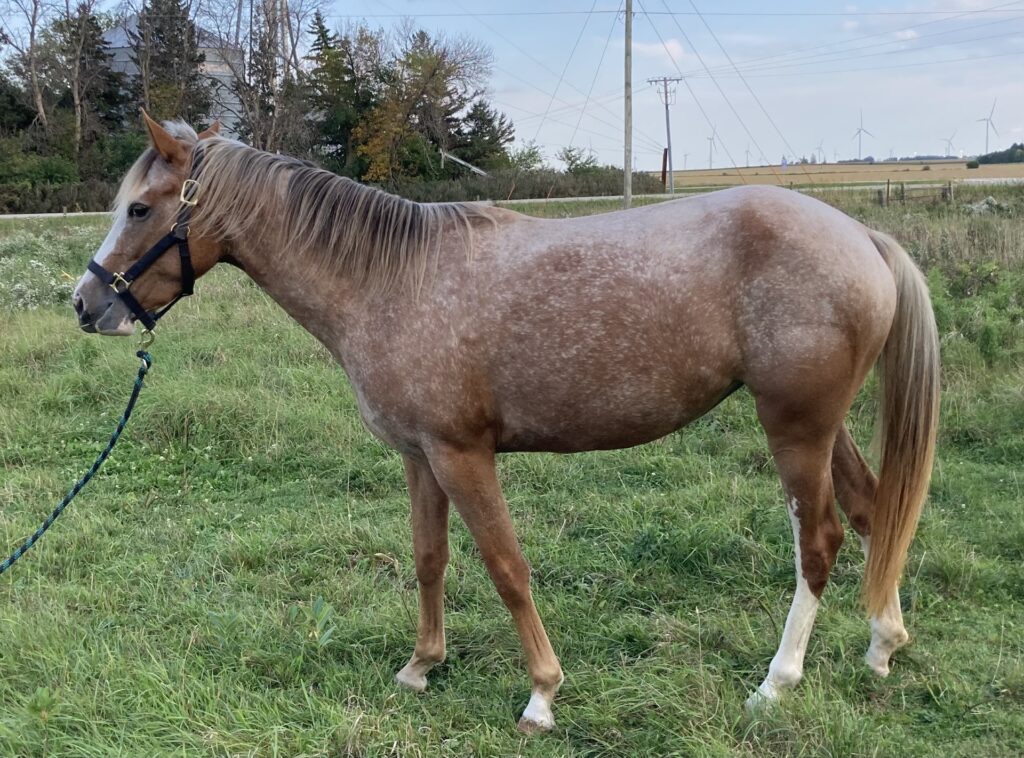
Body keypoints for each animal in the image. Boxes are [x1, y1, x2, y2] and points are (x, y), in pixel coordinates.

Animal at [72, 113, 939, 732]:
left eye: (141, 207)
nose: (85, 306)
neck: (392, 278)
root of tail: (862, 236)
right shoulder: (420, 456)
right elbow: (430, 559)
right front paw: (422, 666)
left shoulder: (464, 455)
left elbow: (506, 567)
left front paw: (542, 695)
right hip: (820, 426)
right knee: (872, 513)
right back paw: (881, 647)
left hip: (795, 427)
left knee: (819, 540)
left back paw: (776, 683)